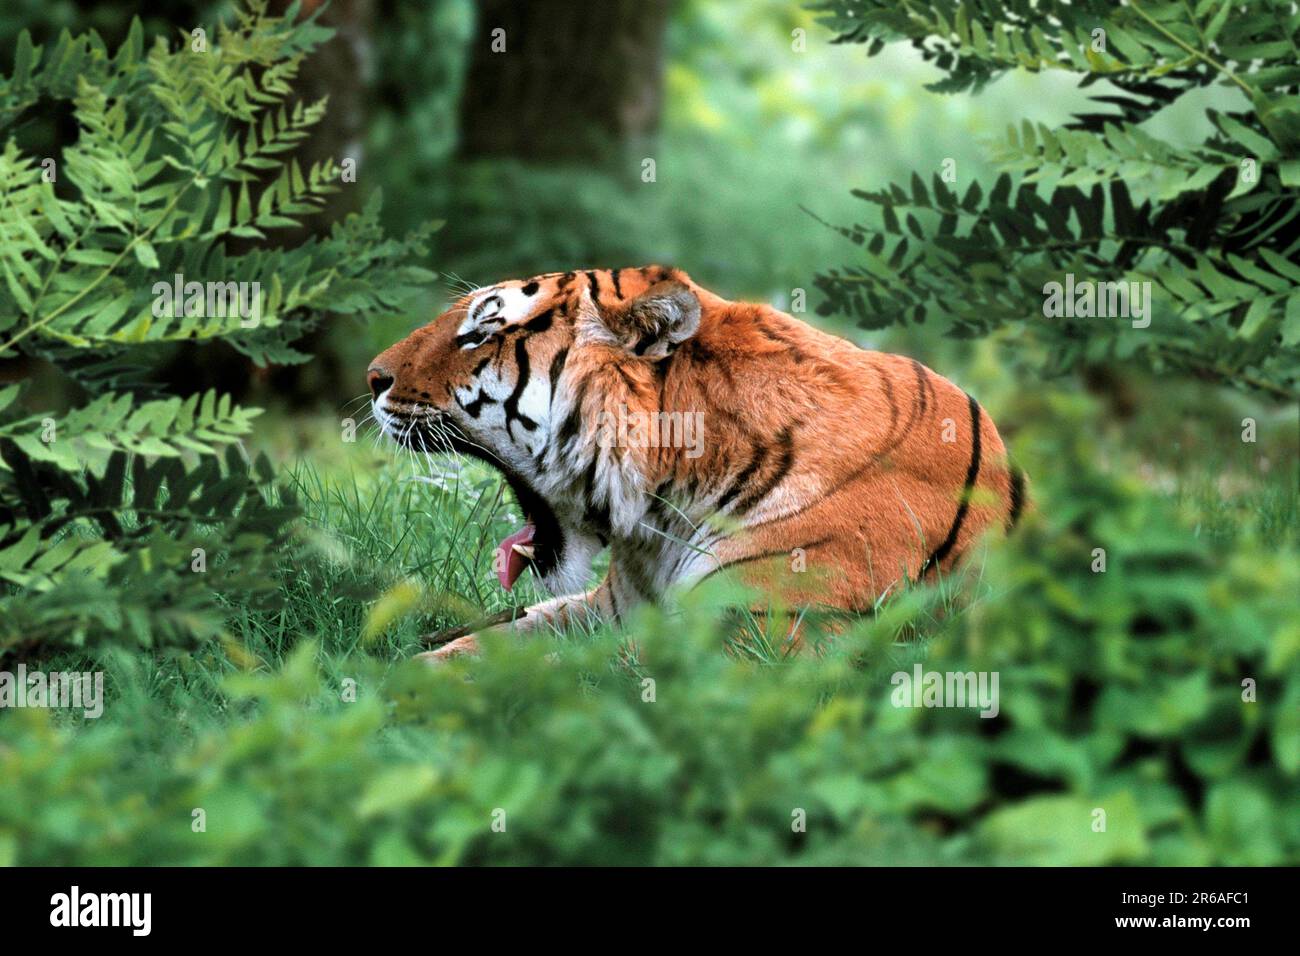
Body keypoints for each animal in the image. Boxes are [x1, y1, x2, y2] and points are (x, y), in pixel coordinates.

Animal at [367, 266, 1026, 662]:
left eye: (482, 333)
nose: (373, 378)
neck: (664, 508)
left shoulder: (755, 641)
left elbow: (568, 674)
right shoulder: (608, 608)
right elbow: (492, 644)